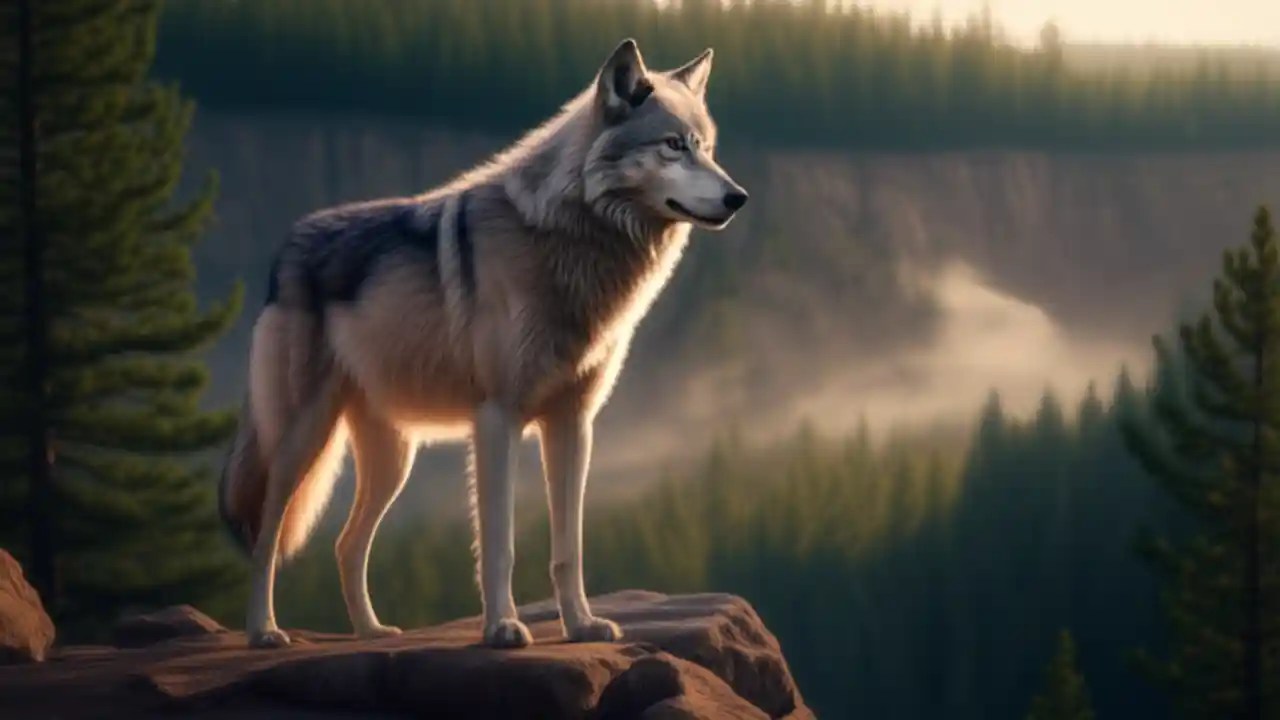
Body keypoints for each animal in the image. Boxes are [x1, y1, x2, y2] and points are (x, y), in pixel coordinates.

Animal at [219, 39, 747, 649]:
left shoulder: (573, 422)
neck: (570, 238)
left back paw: (372, 632)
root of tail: (285, 249)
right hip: (300, 441)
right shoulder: (498, 418)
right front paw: (502, 627)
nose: (738, 197)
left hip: (394, 460)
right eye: (673, 146)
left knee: (345, 544)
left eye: (707, 149)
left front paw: (581, 625)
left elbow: (569, 548)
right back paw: (264, 632)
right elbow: (499, 543)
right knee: (266, 538)